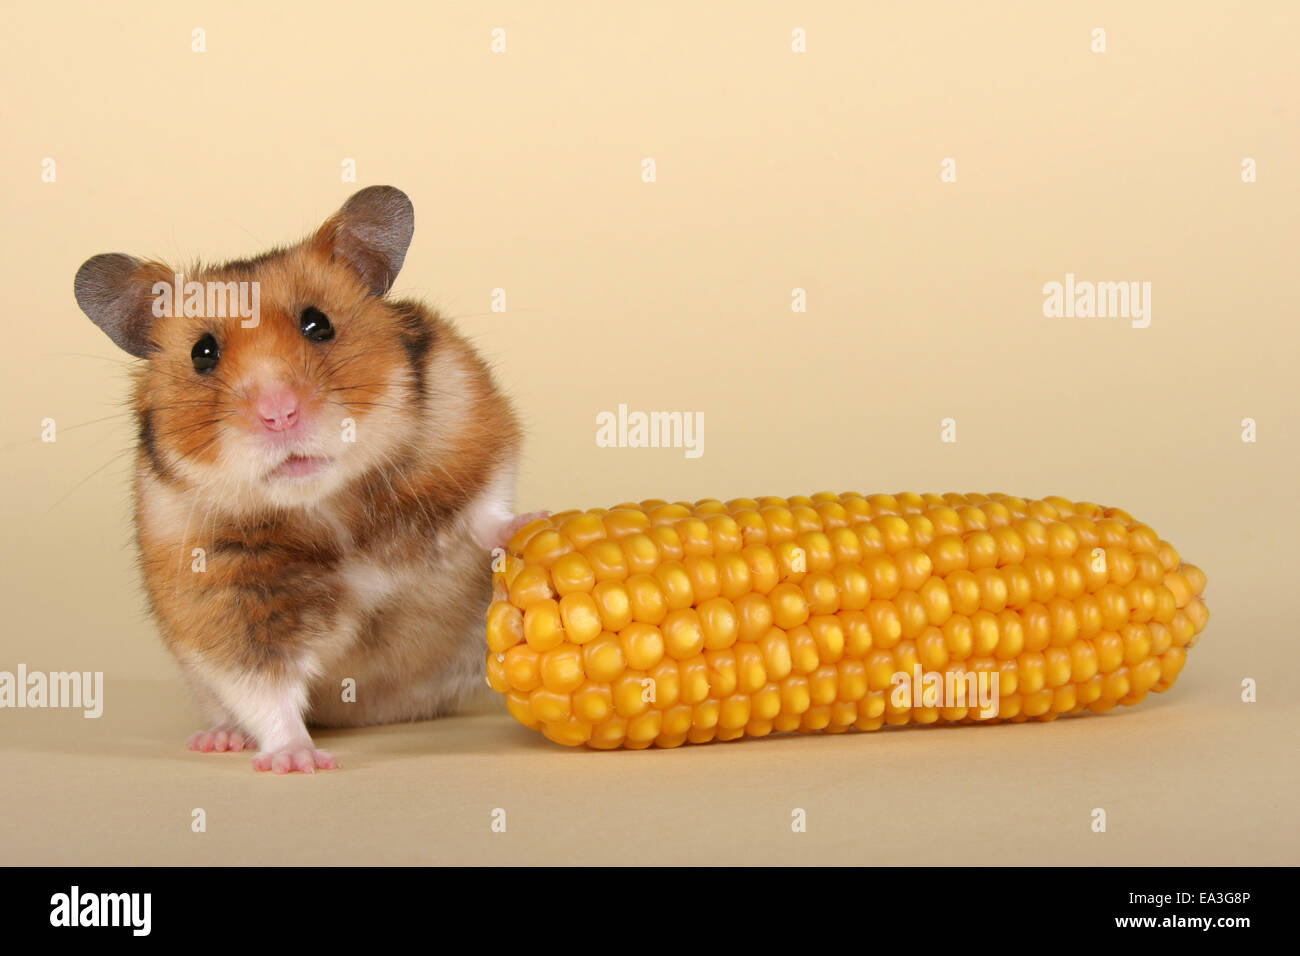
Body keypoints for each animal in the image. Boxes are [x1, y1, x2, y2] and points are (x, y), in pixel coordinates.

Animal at [73, 186, 537, 773]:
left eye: (318, 324)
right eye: (203, 353)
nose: (279, 414)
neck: (330, 502)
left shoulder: (470, 420)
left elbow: (484, 506)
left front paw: (529, 523)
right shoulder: (220, 595)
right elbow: (261, 688)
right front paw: (298, 761)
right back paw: (219, 739)